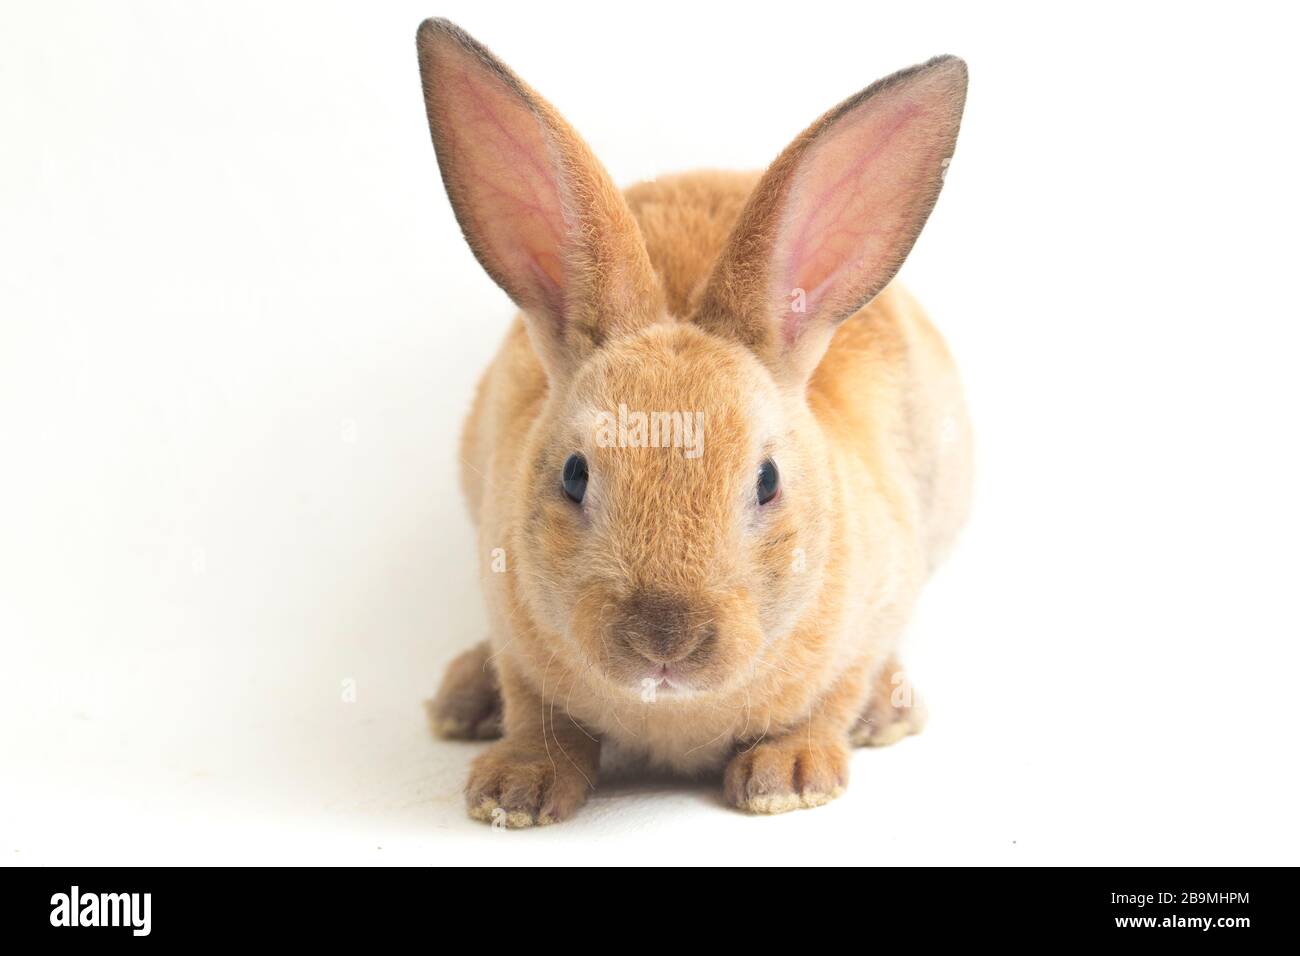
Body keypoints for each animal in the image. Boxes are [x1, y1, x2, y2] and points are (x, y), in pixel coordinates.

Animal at [416, 17, 972, 826]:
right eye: (574, 476)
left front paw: (789, 779)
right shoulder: (513, 628)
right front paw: (516, 790)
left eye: (767, 481)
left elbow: (831, 700)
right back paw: (461, 701)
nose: (664, 641)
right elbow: (536, 711)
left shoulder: (872, 610)